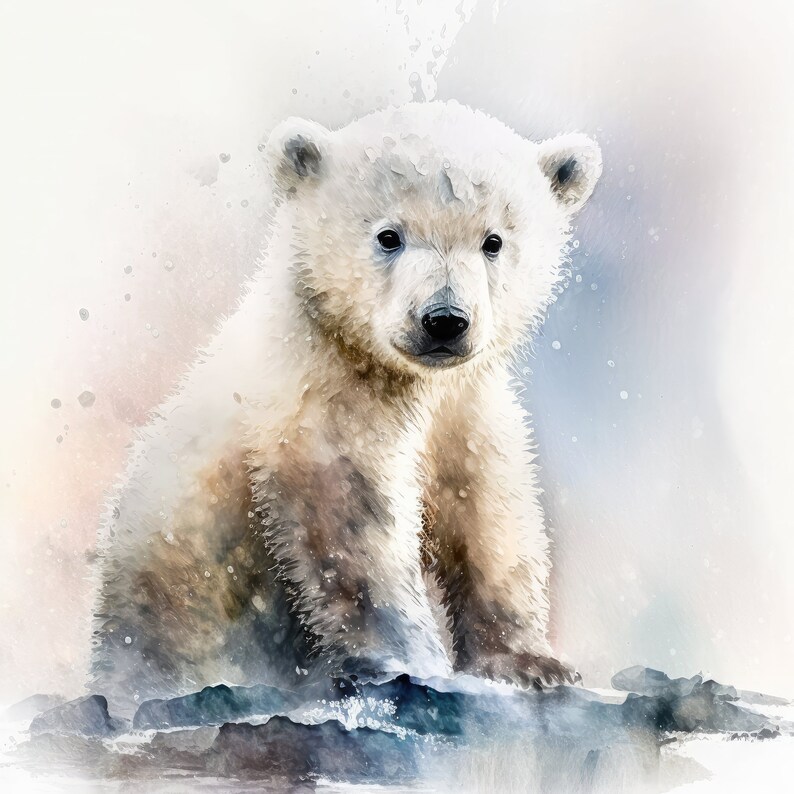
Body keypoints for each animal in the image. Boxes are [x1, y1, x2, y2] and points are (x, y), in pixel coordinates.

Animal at [91, 101, 602, 716]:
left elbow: (488, 510)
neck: (398, 377)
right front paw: (412, 663)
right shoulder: (317, 404)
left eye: (494, 241)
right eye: (389, 235)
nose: (444, 320)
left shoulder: (468, 407)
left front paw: (531, 662)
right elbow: (355, 522)